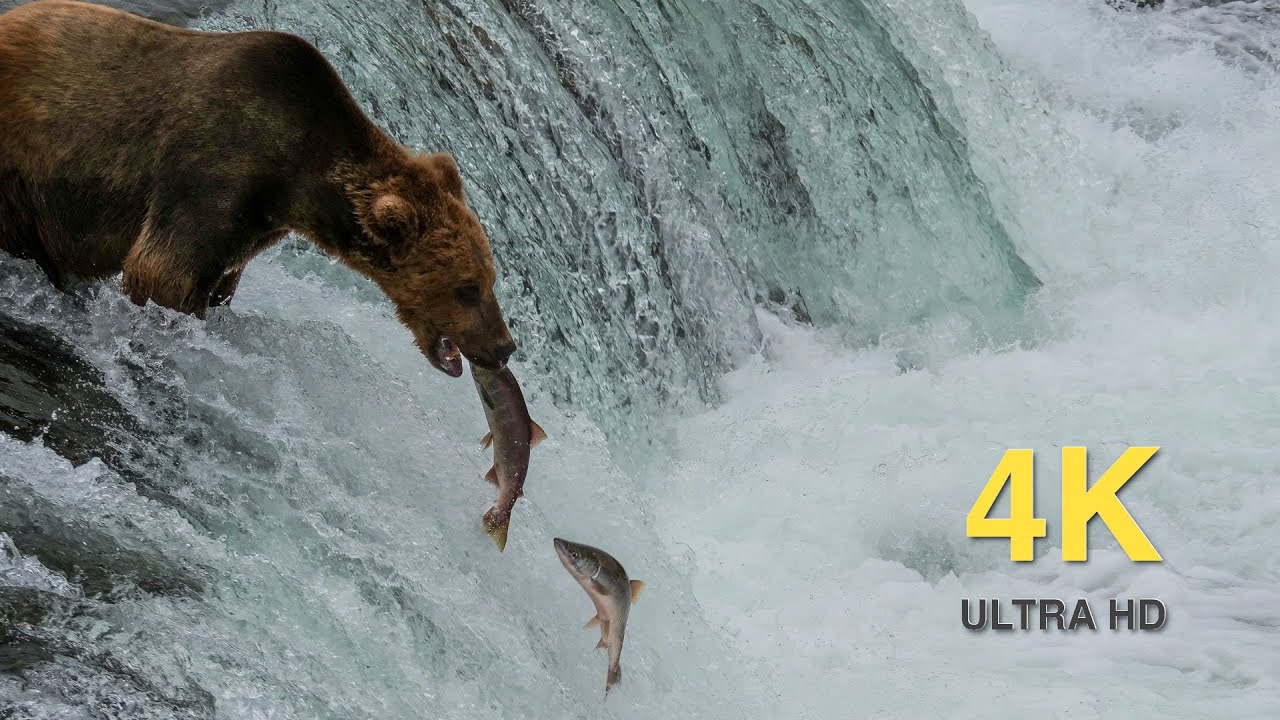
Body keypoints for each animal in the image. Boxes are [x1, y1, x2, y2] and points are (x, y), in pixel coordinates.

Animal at [0, 0, 516, 377]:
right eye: (467, 288)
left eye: (488, 280)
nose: (505, 347)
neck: (294, 173)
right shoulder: (212, 166)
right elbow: (164, 271)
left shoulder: (257, 221)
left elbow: (221, 277)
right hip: (21, 165)